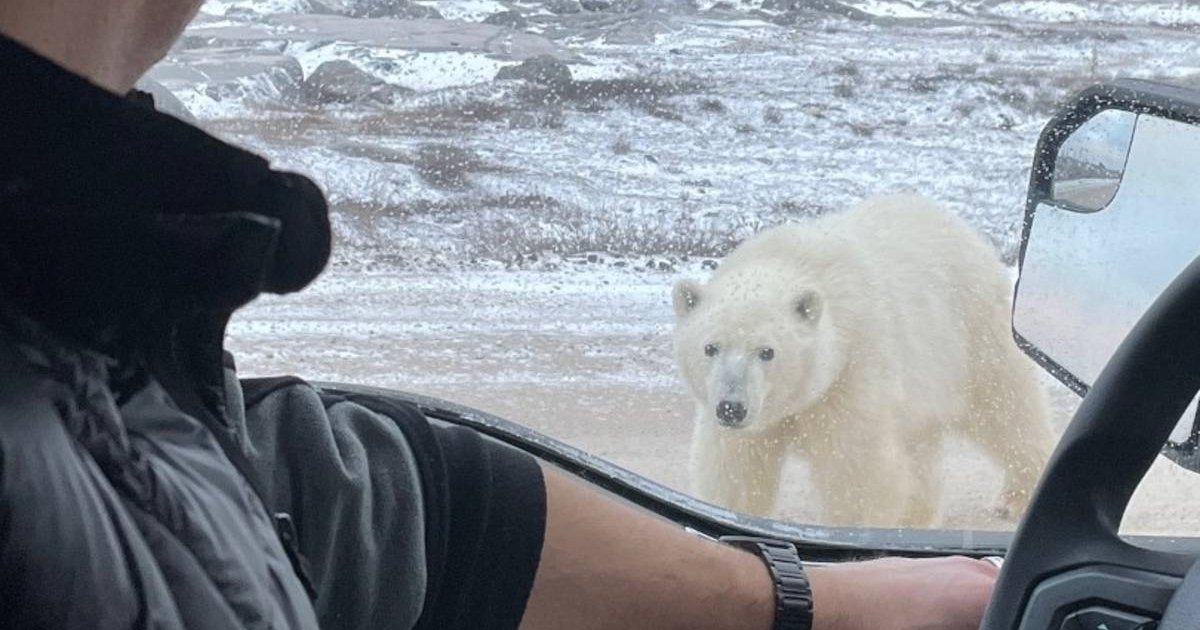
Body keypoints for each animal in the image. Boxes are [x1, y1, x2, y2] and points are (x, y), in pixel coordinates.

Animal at [672, 193, 1056, 528]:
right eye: (710, 347)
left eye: (767, 351)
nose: (731, 408)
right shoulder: (751, 419)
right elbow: (737, 467)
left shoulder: (852, 368)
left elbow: (856, 471)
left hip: (973, 331)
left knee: (1004, 407)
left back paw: (1015, 496)